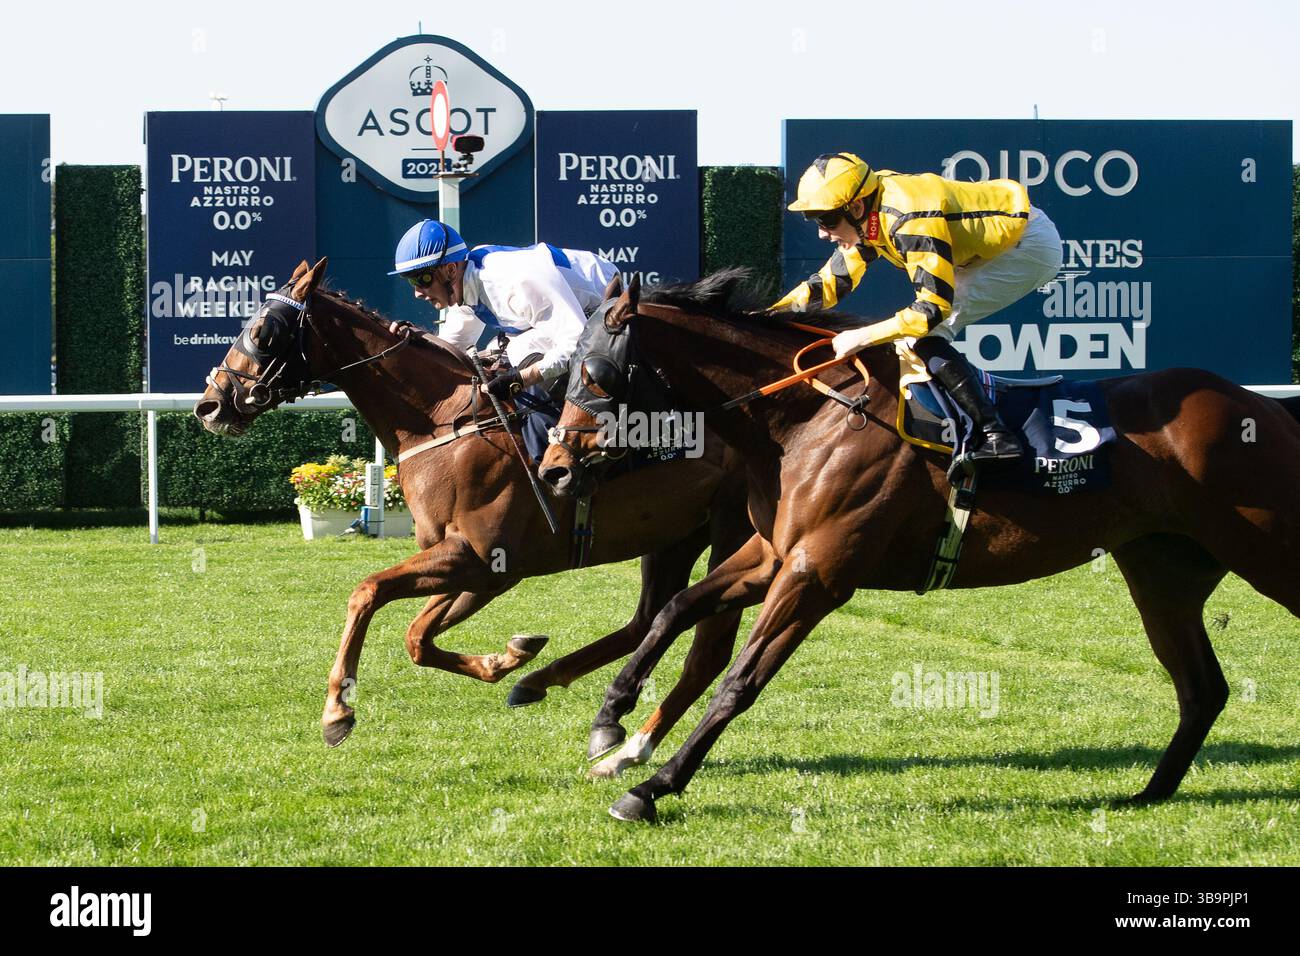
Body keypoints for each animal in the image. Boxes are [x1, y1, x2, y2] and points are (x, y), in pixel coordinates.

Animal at [193, 258, 751, 748]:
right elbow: (418, 636)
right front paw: (505, 658)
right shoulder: (481, 568)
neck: (445, 422)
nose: (210, 404)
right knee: (648, 617)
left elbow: (367, 592)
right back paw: (541, 682)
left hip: (731, 528)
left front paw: (336, 710)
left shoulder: (481, 558)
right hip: (676, 535)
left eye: (264, 330)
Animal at [539, 268, 1300, 822]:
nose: (553, 469)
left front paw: (651, 788)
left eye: (594, 373)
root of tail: (1261, 406)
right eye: (567, 369)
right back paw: (1147, 794)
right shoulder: (775, 553)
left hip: (1265, 548)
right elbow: (676, 610)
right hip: (1163, 572)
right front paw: (614, 730)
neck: (809, 416)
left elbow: (738, 681)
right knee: (1202, 688)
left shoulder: (818, 574)